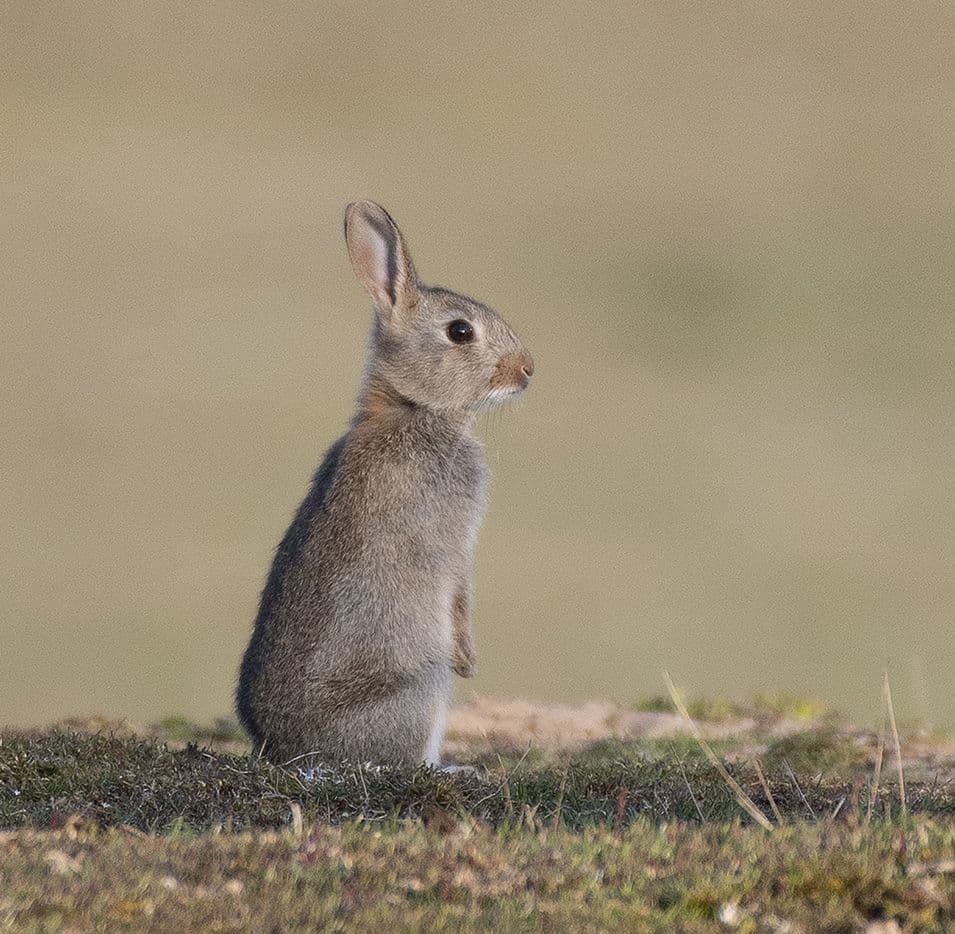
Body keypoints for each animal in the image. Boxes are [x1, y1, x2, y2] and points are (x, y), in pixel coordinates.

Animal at [236, 200, 533, 768]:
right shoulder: (451, 541)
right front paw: (470, 660)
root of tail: (289, 750)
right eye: (460, 332)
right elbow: (459, 592)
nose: (527, 370)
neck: (413, 408)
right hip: (421, 687)